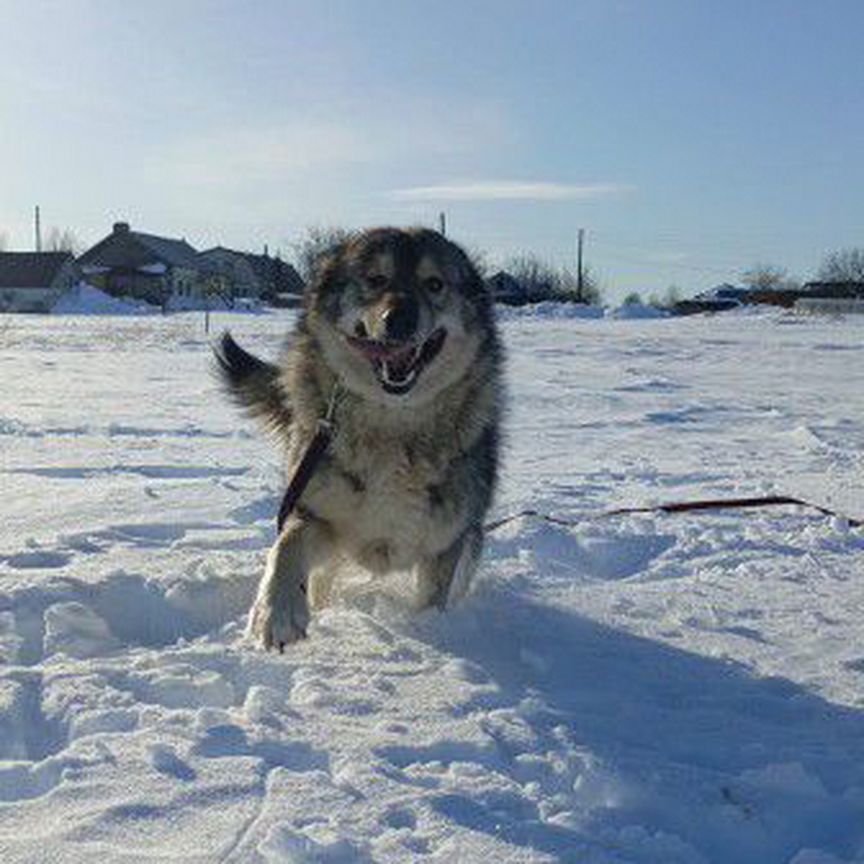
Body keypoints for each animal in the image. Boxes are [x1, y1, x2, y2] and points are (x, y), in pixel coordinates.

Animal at [216, 227, 502, 651]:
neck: (392, 423)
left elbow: (433, 600)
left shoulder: (445, 545)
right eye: (375, 279)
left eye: (434, 284)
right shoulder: (317, 516)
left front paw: (429, 633)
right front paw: (277, 611)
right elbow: (286, 546)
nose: (399, 319)